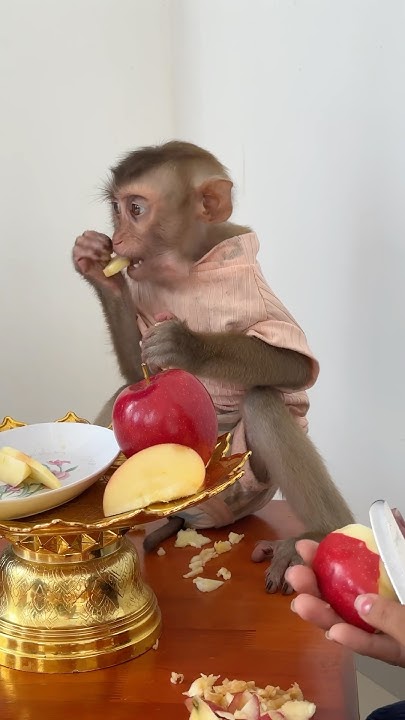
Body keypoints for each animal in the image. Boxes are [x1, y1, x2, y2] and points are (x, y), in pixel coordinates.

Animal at [72, 140, 354, 594]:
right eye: (115, 208)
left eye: (136, 209)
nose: (117, 237)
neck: (192, 265)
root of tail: (200, 515)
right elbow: (136, 375)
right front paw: (99, 270)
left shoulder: (249, 282)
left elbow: (293, 364)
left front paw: (186, 344)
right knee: (122, 394)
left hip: (246, 488)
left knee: (262, 402)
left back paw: (321, 532)